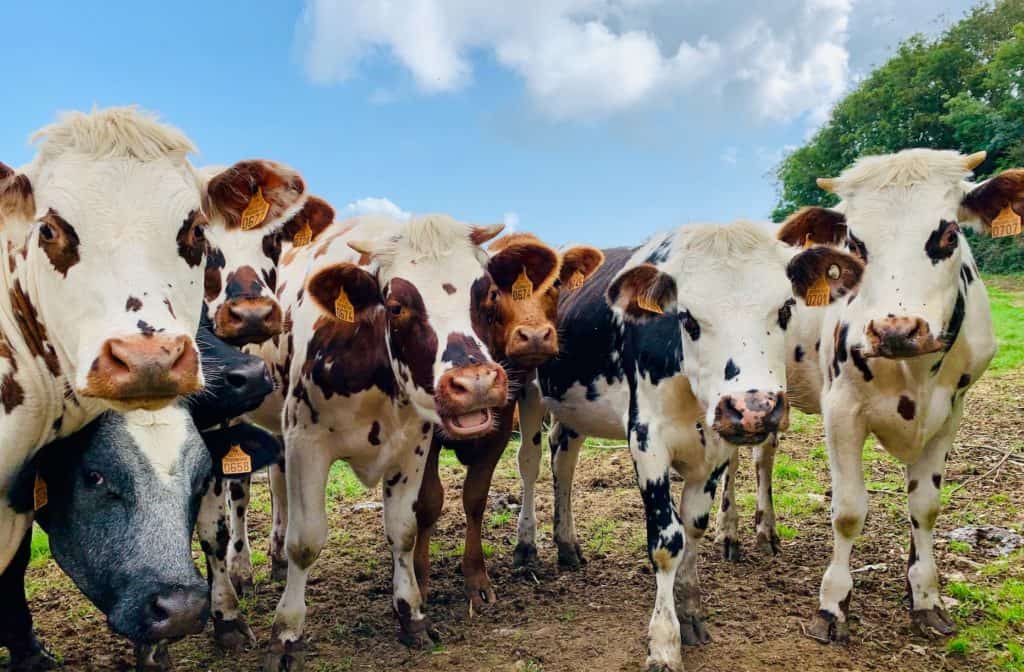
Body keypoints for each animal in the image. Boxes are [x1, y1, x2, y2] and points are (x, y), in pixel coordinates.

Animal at [253, 211, 514, 671]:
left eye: (490, 296)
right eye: (396, 306)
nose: (477, 383)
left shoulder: (413, 446)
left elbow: (404, 531)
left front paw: (412, 616)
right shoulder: (306, 441)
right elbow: (306, 541)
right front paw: (285, 635)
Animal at [413, 233, 604, 612]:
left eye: (555, 284)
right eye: (494, 291)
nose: (535, 336)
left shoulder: (503, 423)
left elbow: (476, 497)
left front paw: (477, 580)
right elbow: (429, 501)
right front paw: (419, 582)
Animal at [515, 221, 862, 671]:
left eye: (786, 309)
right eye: (687, 317)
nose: (752, 409)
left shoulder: (715, 450)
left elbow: (693, 526)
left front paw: (690, 610)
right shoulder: (646, 439)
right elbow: (667, 541)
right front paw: (664, 641)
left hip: (572, 409)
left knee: (565, 462)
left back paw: (567, 544)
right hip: (527, 391)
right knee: (530, 463)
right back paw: (526, 545)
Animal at [773, 149, 1015, 644]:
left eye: (948, 234)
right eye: (854, 243)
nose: (895, 330)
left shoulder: (950, 413)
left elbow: (925, 507)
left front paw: (924, 597)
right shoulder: (841, 410)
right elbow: (848, 510)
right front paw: (832, 605)